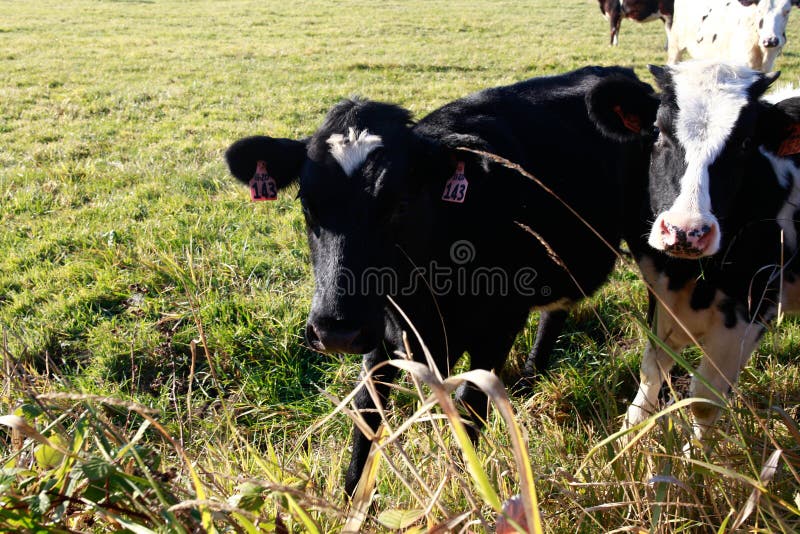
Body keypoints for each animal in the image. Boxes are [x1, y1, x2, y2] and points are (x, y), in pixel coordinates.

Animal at [225, 66, 654, 495]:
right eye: (307, 205)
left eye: (399, 204)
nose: (335, 332)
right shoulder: (381, 332)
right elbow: (366, 414)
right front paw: (349, 500)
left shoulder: (498, 328)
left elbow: (469, 411)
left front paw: (474, 494)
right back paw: (531, 377)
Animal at [586, 60, 800, 442]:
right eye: (658, 131)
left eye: (746, 143)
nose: (687, 231)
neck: (689, 276)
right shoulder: (660, 292)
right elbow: (652, 368)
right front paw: (626, 436)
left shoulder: (751, 309)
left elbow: (703, 402)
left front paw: (694, 458)